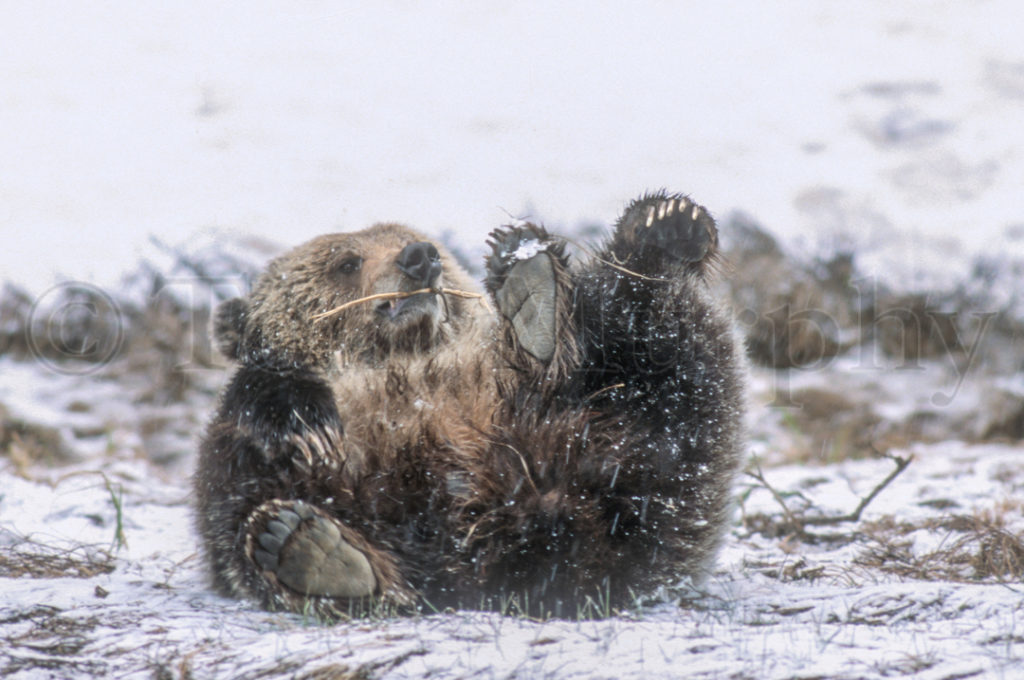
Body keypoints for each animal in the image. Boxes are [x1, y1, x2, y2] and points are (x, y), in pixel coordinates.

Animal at [194, 191, 746, 619]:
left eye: (419, 239)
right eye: (346, 262)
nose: (419, 256)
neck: (403, 351)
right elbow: (252, 427)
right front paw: (305, 417)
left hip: (632, 438)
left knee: (663, 345)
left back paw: (624, 247)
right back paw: (309, 551)